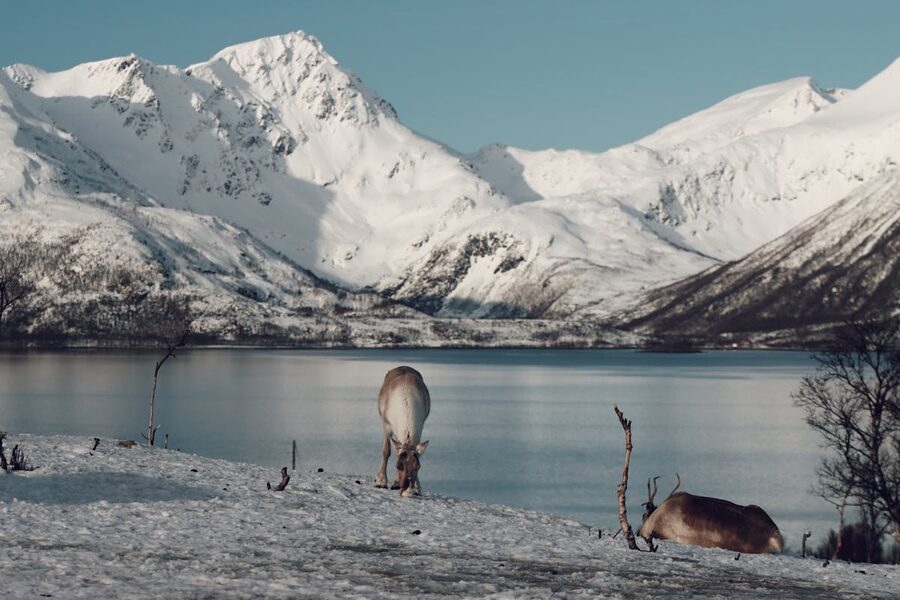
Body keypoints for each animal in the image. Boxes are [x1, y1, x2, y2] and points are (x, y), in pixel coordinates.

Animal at [374, 366, 430, 498]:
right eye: (397, 465)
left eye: (418, 467)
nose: (407, 492)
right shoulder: (387, 425)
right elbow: (386, 452)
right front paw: (381, 481)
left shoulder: (420, 427)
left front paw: (417, 488)